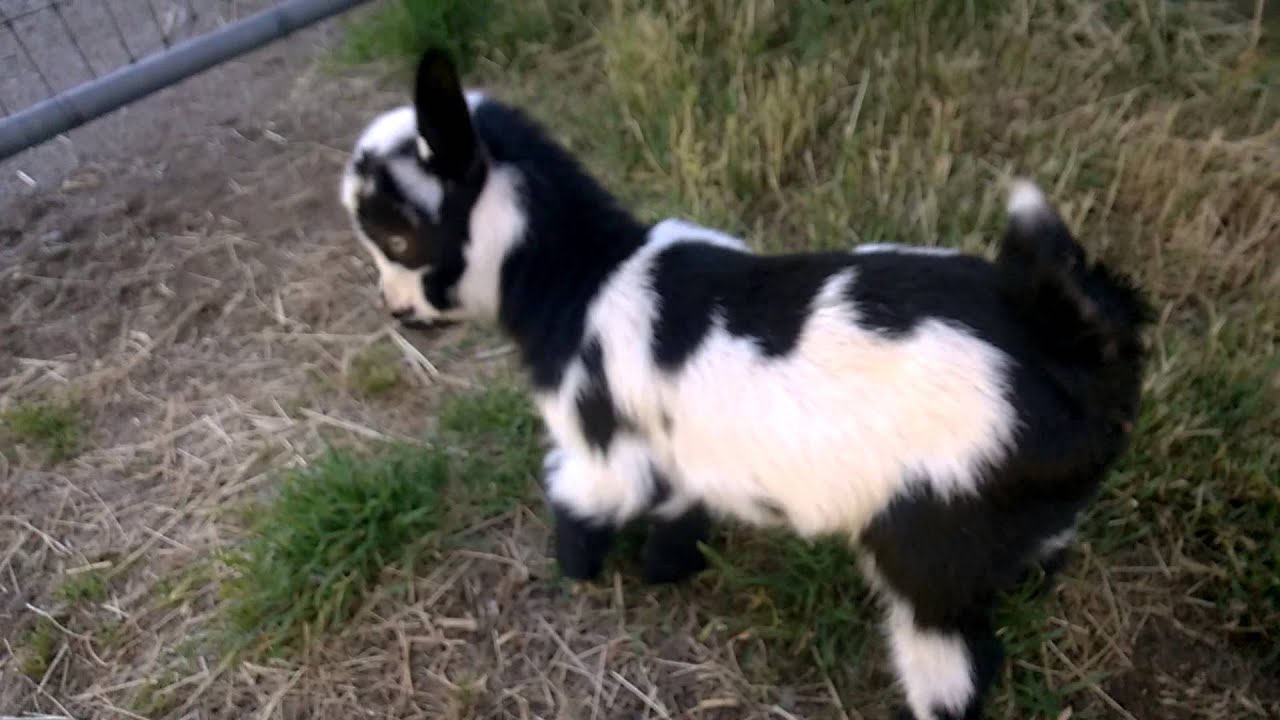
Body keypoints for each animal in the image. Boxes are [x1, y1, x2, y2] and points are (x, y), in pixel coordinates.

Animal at [340, 48, 1148, 720]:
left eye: (396, 236)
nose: (391, 309)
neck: (586, 274)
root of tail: (1068, 348)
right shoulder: (684, 446)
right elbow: (680, 509)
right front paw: (666, 569)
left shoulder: (601, 442)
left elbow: (577, 498)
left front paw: (575, 573)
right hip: (1012, 514)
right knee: (1038, 554)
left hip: (929, 532)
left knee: (951, 665)